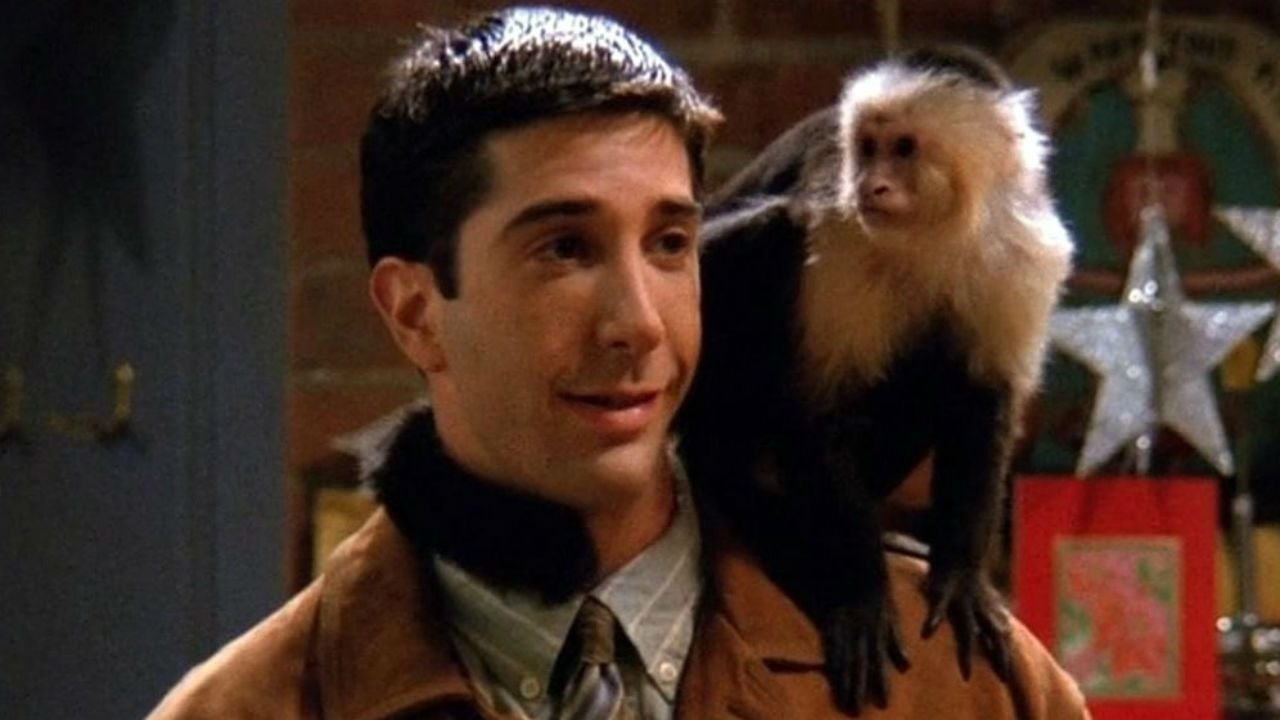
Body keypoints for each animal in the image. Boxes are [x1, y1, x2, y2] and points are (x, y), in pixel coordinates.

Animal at [677, 47, 1073, 714]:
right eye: (866, 148)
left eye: (905, 148)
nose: (873, 185)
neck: (935, 233)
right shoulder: (839, 235)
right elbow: (818, 416)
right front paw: (860, 595)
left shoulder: (1021, 251)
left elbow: (986, 401)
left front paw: (962, 576)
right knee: (774, 229)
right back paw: (739, 487)